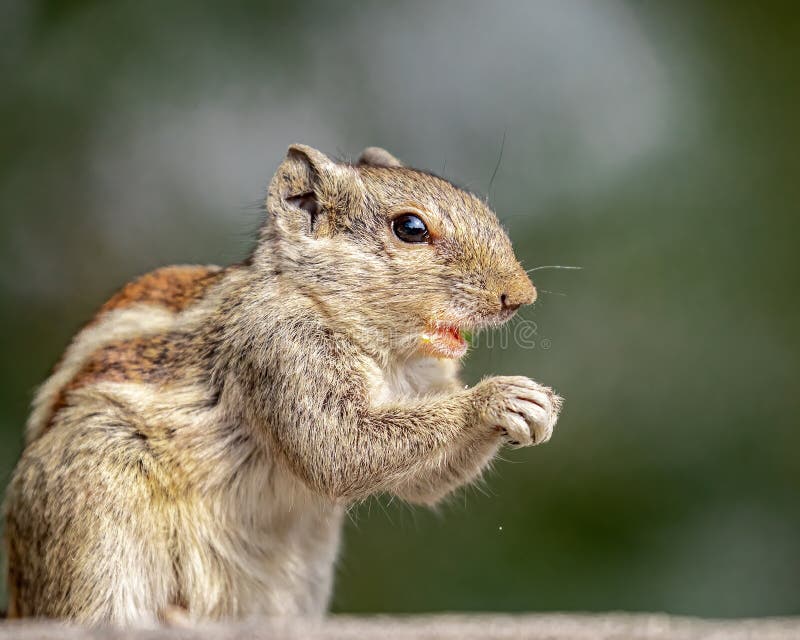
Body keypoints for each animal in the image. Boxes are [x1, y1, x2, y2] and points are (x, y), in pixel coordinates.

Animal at [3, 144, 562, 626]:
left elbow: (421, 481)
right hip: (93, 515)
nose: (521, 296)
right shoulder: (279, 349)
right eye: (410, 228)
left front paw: (534, 409)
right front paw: (496, 398)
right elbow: (340, 447)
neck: (384, 354)